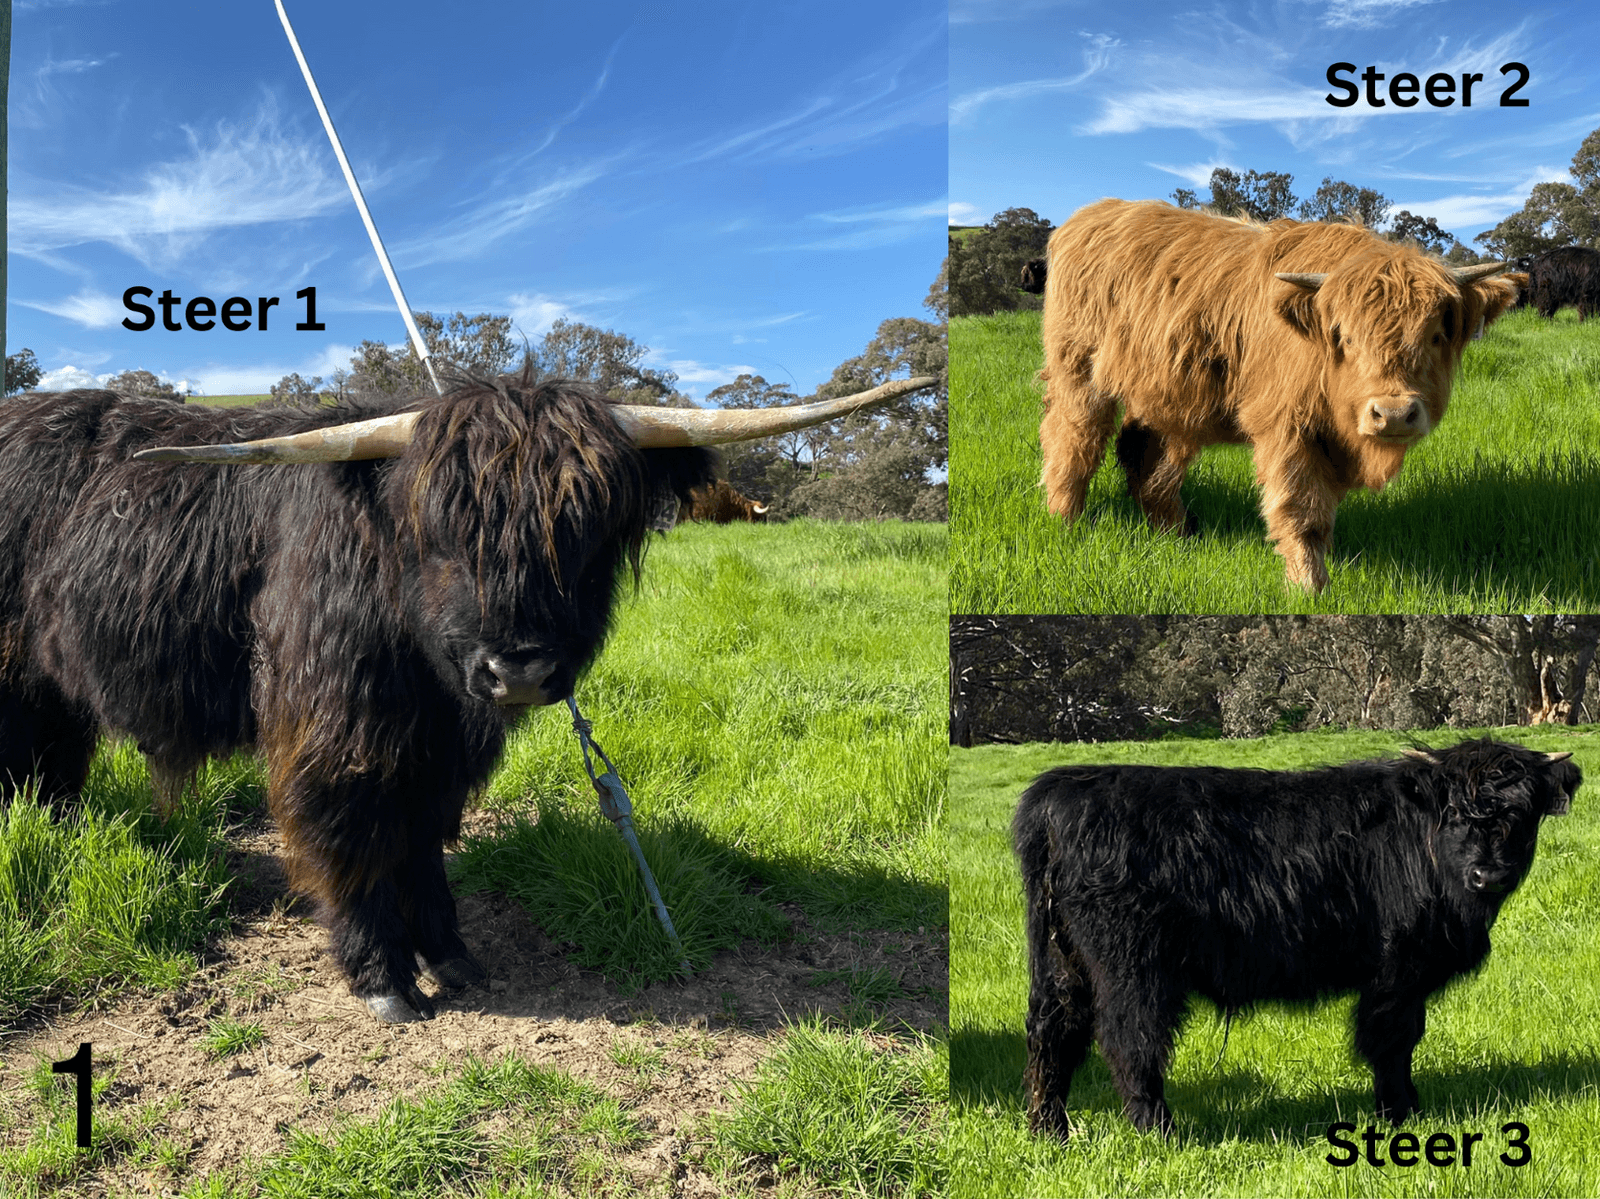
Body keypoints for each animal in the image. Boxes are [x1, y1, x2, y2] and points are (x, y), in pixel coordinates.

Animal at [0, 371, 932, 1023]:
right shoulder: (336, 733)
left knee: (51, 767)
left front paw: (449, 954)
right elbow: (351, 839)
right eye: (445, 531)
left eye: (587, 531)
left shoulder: (440, 750)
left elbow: (420, 845)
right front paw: (381, 976)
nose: (517, 671)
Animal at [1012, 739, 1580, 1139]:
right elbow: (1392, 1042)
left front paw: (1408, 1108)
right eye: (1456, 813)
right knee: (1128, 1039)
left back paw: (1050, 1132)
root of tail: (1060, 793)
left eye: (1520, 815)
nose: (1490, 874)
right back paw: (1160, 1131)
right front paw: (1398, 1113)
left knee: (1053, 1033)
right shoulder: (1398, 970)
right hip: (1132, 968)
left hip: (1061, 959)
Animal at [1038, 199, 1522, 591]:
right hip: (1077, 369)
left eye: (1437, 335)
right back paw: (1065, 522)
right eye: (1344, 336)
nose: (1394, 413)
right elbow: (1301, 512)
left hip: (1161, 391)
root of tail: (1089, 215)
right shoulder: (1288, 429)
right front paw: (1309, 586)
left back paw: (1177, 535)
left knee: (1146, 457)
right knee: (1073, 439)